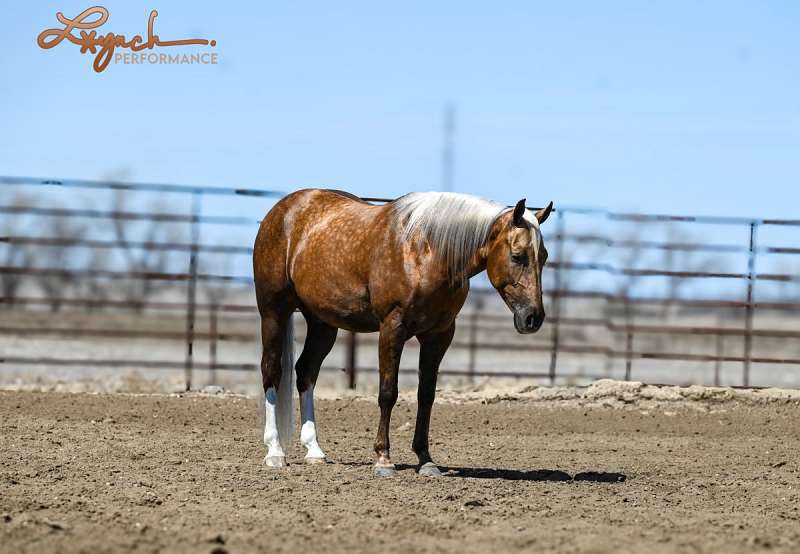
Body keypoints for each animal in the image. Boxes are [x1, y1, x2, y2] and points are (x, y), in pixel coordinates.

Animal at [253, 189, 553, 476]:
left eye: (545, 257)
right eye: (517, 256)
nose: (533, 318)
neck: (427, 251)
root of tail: (284, 209)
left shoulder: (439, 335)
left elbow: (426, 395)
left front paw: (426, 460)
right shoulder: (392, 328)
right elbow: (388, 393)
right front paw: (383, 459)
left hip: (322, 323)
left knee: (306, 373)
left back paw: (314, 450)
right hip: (273, 313)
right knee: (272, 371)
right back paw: (275, 452)